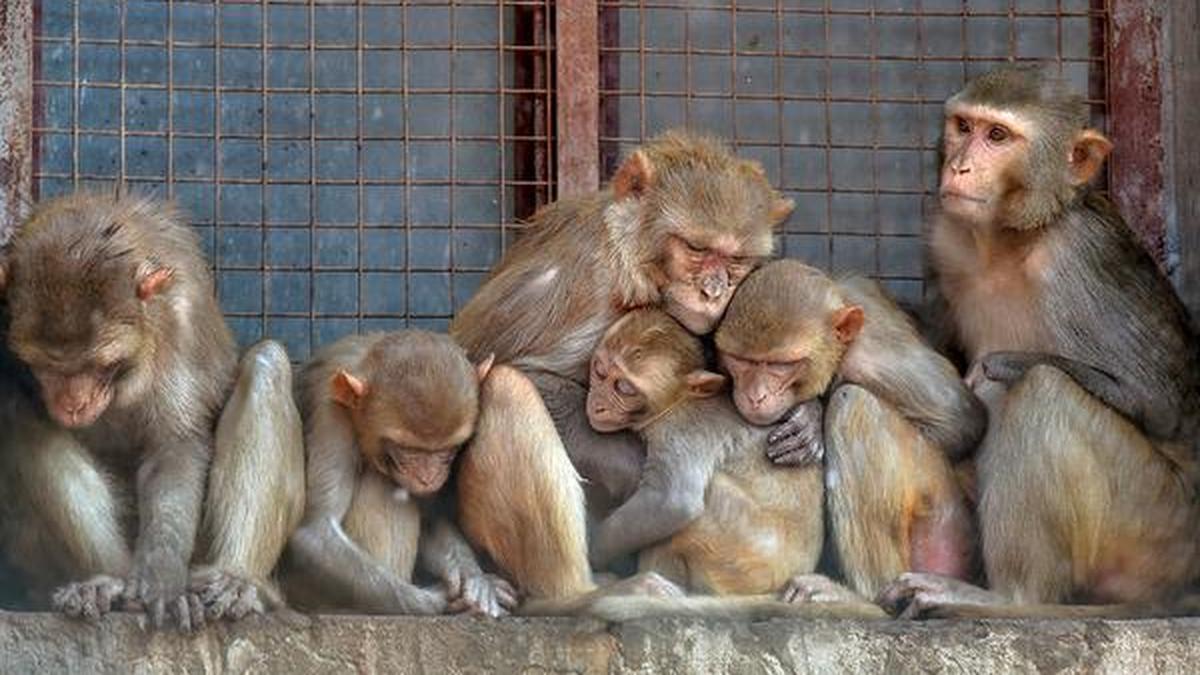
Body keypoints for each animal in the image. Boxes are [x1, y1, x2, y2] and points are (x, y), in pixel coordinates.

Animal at [0, 192, 305, 629]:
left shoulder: (180, 322)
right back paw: (109, 581)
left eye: (102, 364)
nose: (73, 404)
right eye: (45, 366)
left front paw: (162, 577)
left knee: (267, 363)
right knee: (19, 411)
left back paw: (237, 578)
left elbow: (173, 448)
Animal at [450, 130, 795, 523]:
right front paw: (636, 468)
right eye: (696, 248)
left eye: (735, 259)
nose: (712, 292)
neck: (632, 262)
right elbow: (525, 372)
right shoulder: (596, 288)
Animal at [713, 259, 984, 601]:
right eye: (740, 360)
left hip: (944, 529)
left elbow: (961, 423)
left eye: (780, 365)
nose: (755, 395)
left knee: (854, 406)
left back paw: (864, 595)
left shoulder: (872, 357)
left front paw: (813, 419)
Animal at [878, 64, 1200, 618]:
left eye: (998, 136)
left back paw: (1005, 598)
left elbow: (1159, 404)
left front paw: (997, 365)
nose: (960, 167)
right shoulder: (945, 235)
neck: (1011, 239)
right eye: (964, 127)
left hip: (1158, 526)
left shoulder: (1083, 255)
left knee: (1039, 387)